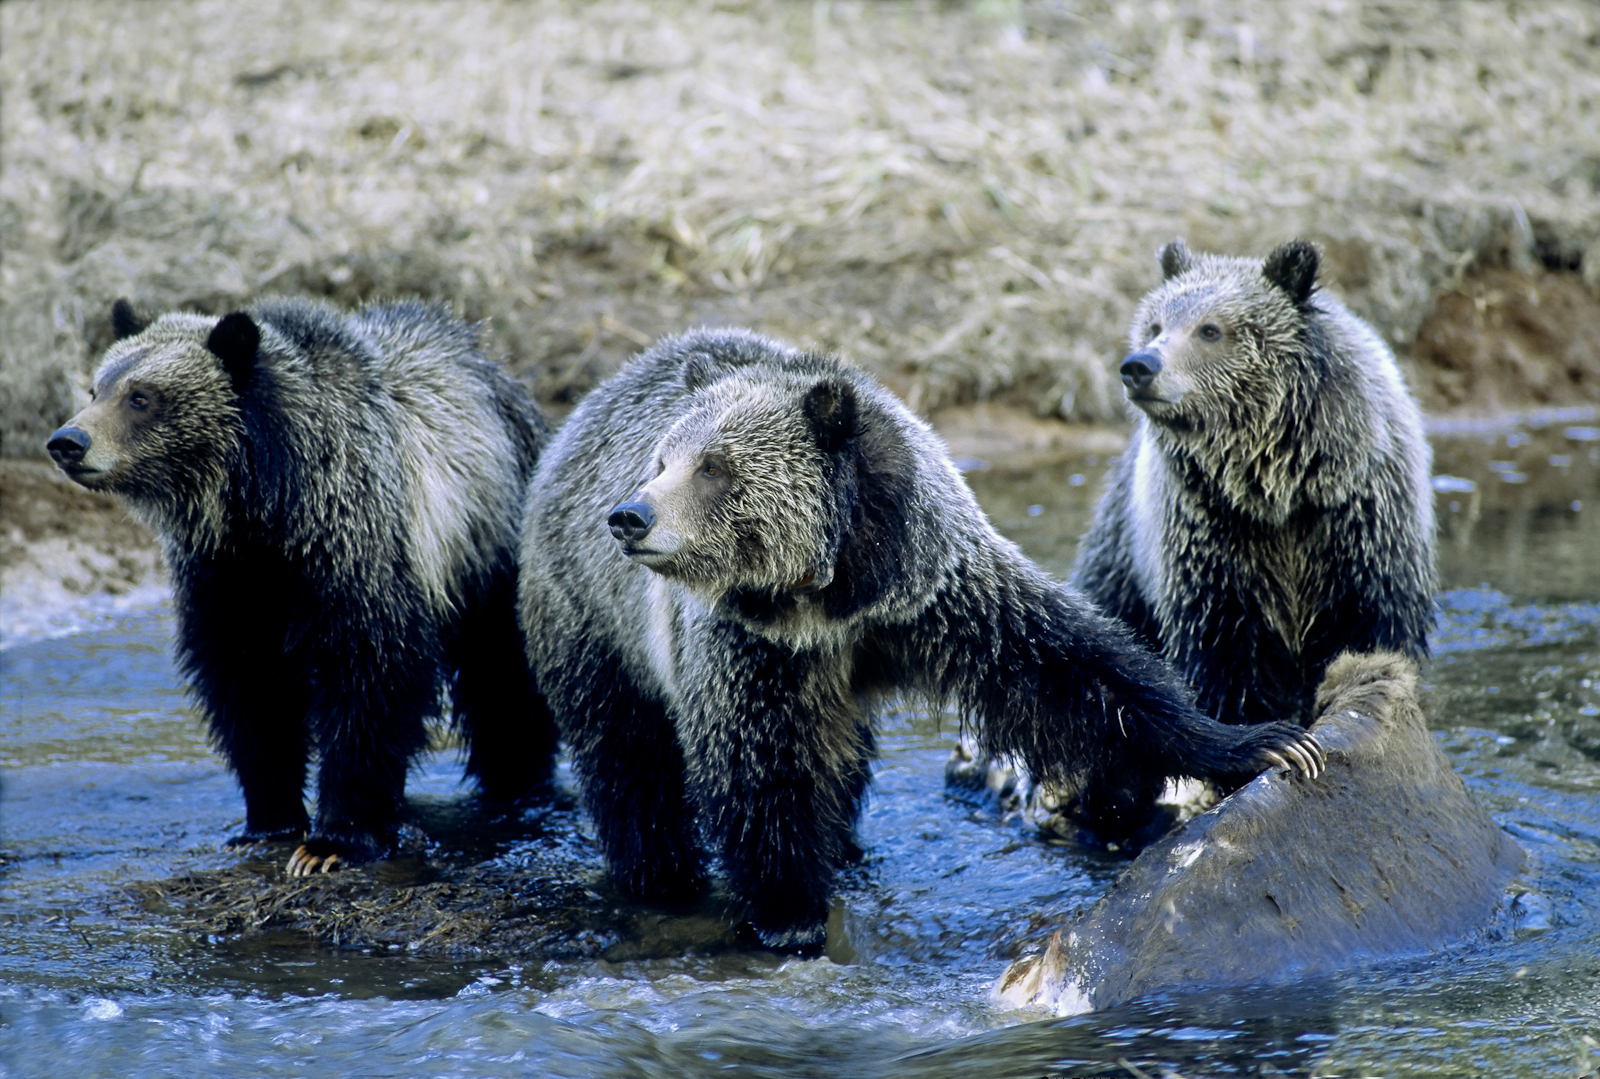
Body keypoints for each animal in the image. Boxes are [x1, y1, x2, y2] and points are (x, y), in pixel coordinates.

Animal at [46, 296, 559, 875]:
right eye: (97, 388)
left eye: (141, 396)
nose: (68, 441)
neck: (265, 507)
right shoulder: (225, 581)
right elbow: (248, 693)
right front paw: (267, 820)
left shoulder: (356, 550)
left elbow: (369, 679)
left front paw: (334, 841)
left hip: (491, 551)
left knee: (504, 679)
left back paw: (516, 780)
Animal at [516, 327, 1324, 953]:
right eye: (662, 459)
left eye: (712, 465)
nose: (630, 515)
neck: (827, 591)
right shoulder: (746, 644)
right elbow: (758, 766)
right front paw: (789, 914)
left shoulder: (934, 585)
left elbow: (1074, 673)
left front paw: (1258, 742)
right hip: (590, 620)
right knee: (628, 759)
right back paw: (660, 874)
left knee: (835, 756)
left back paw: (841, 843)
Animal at [1073, 238, 1436, 731]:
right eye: (1155, 324)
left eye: (1210, 330)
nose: (1139, 366)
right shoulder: (1212, 539)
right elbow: (1226, 658)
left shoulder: (1360, 527)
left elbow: (1373, 628)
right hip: (1124, 555)